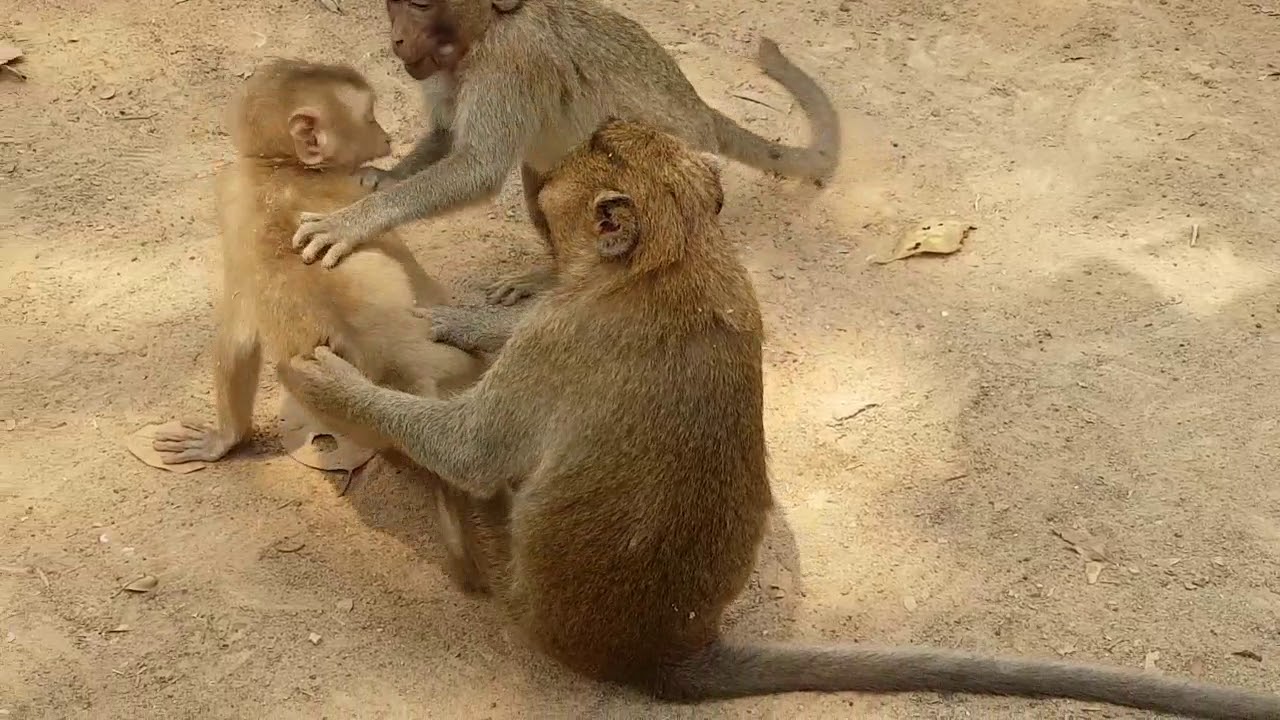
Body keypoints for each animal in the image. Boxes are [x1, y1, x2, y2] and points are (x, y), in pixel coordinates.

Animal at [153, 58, 485, 467]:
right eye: (370, 117)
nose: (387, 137)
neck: (279, 168)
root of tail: (404, 376)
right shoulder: (349, 184)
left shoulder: (230, 194)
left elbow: (238, 335)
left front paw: (224, 439)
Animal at [277, 119, 1280, 719]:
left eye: (578, 153)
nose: (534, 156)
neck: (672, 256)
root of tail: (668, 646)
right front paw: (479, 314)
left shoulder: (569, 339)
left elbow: (477, 448)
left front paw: (330, 382)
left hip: (517, 590)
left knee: (478, 494)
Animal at [288, 0, 841, 306]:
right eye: (394, 2)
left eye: (422, 5)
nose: (398, 38)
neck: (486, 30)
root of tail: (702, 111)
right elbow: (447, 136)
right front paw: (387, 177)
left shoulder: (511, 57)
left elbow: (478, 168)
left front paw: (356, 221)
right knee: (539, 179)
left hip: (685, 167)